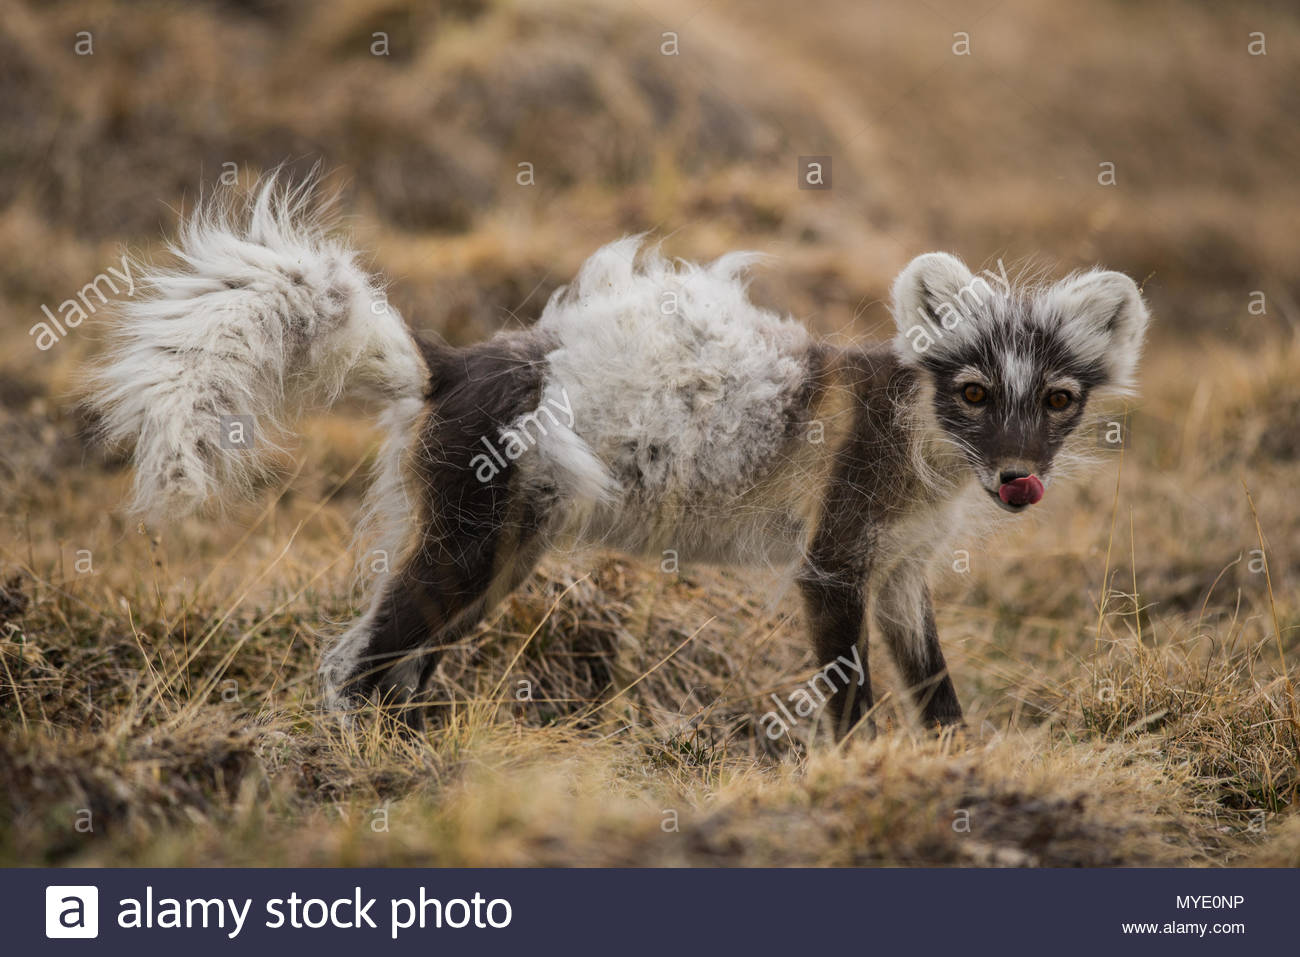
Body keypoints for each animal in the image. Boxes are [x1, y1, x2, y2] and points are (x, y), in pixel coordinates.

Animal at [86, 178, 1149, 740]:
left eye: (1058, 401)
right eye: (972, 392)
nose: (1017, 481)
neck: (917, 442)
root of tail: (453, 360)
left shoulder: (901, 574)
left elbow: (937, 693)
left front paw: (956, 767)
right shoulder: (833, 564)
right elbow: (851, 698)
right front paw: (863, 769)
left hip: (503, 560)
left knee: (401, 665)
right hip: (467, 552)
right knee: (359, 658)